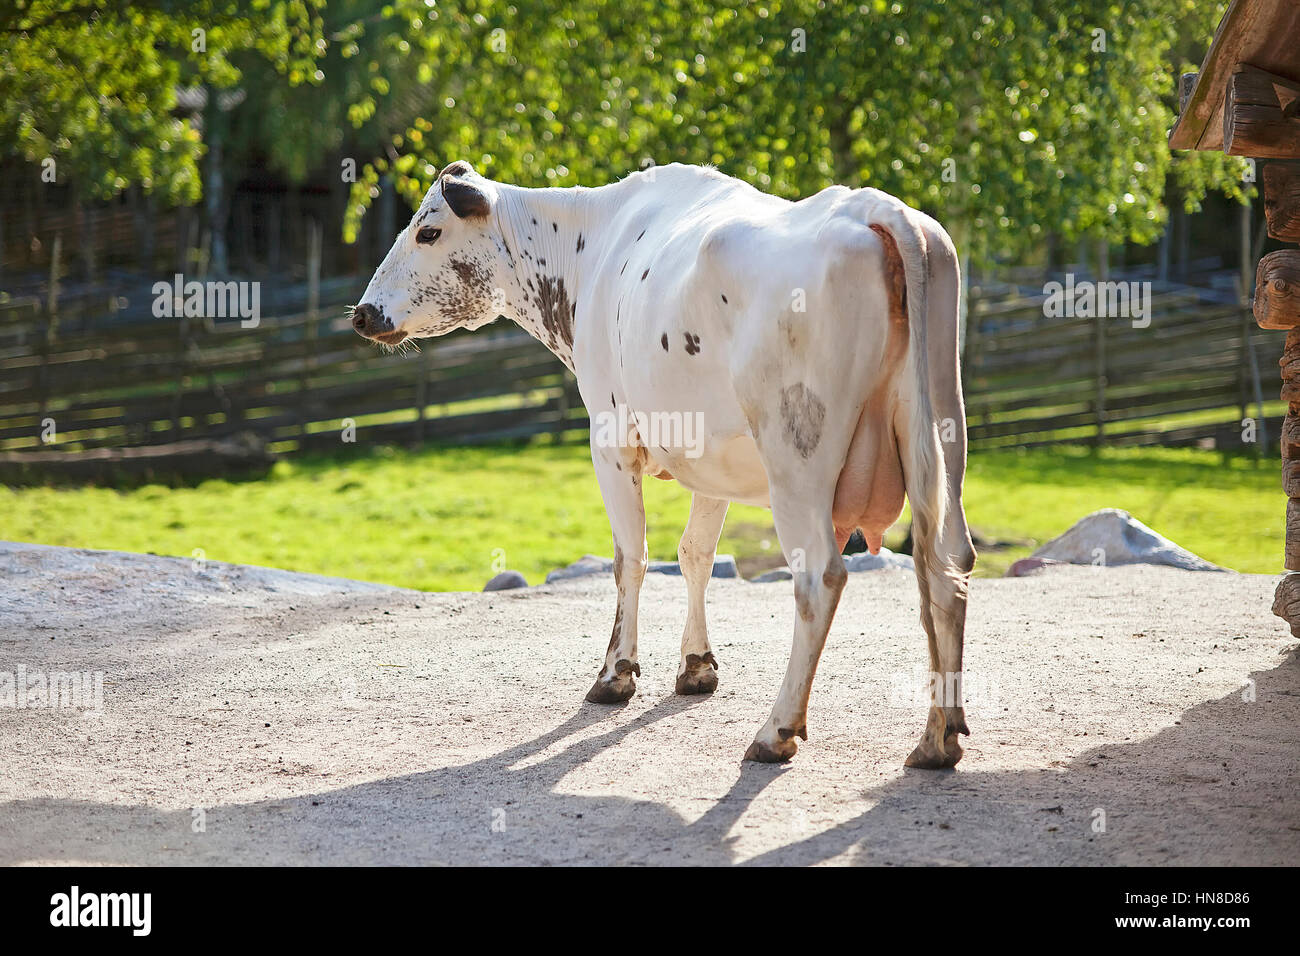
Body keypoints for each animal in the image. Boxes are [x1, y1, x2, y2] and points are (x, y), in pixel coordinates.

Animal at [353, 160, 976, 768]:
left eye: (428, 231)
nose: (362, 313)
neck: (589, 246)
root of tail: (873, 207)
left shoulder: (609, 440)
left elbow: (630, 558)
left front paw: (615, 675)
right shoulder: (715, 456)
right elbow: (695, 553)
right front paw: (696, 665)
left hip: (796, 457)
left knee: (820, 576)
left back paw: (776, 731)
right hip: (942, 437)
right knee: (946, 563)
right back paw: (937, 738)